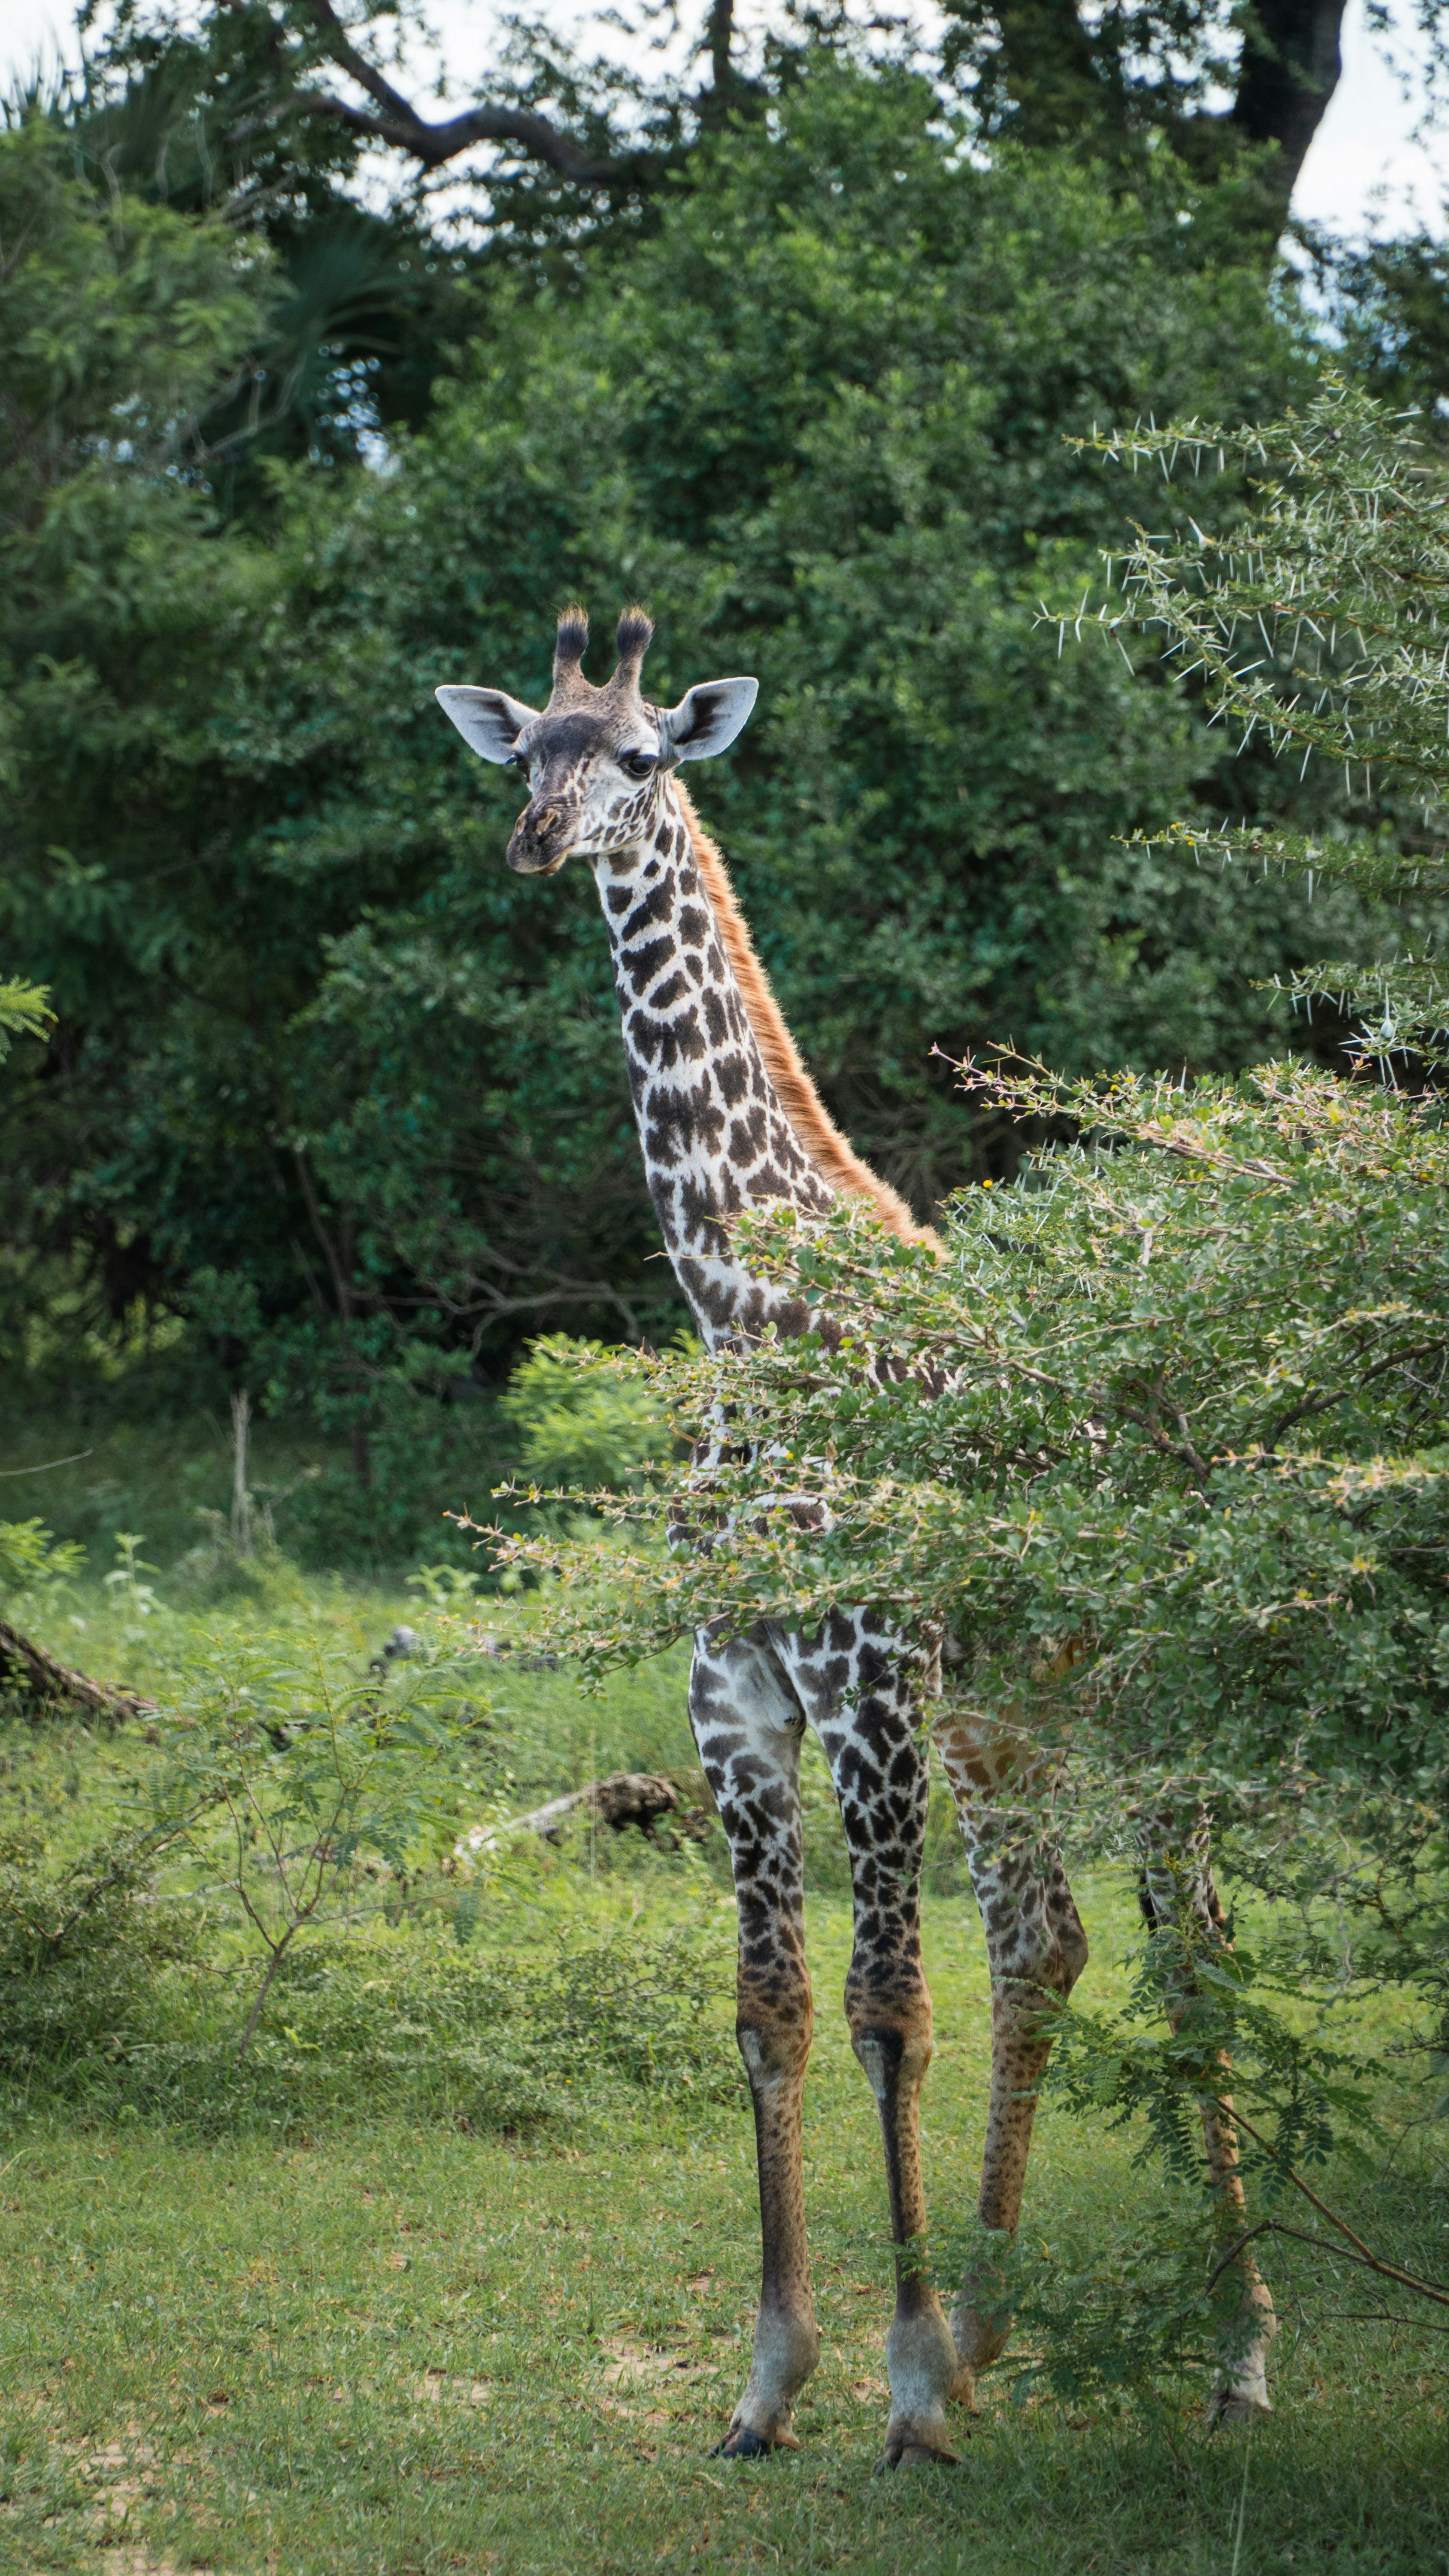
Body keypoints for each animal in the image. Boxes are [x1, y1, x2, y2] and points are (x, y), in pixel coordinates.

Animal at [436, 607, 1277, 2460]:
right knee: (1047, 1941)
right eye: (527, 746)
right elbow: (773, 2012)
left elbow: (893, 2014)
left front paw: (897, 2394)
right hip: (1013, 1715)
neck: (745, 1313)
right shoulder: (737, 1700)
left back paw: (1232, 2352)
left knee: (1187, 1952)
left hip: (1141, 1705)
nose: (536, 840)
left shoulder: (867, 1684)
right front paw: (775, 2382)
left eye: (641, 756)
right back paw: (987, 2322)